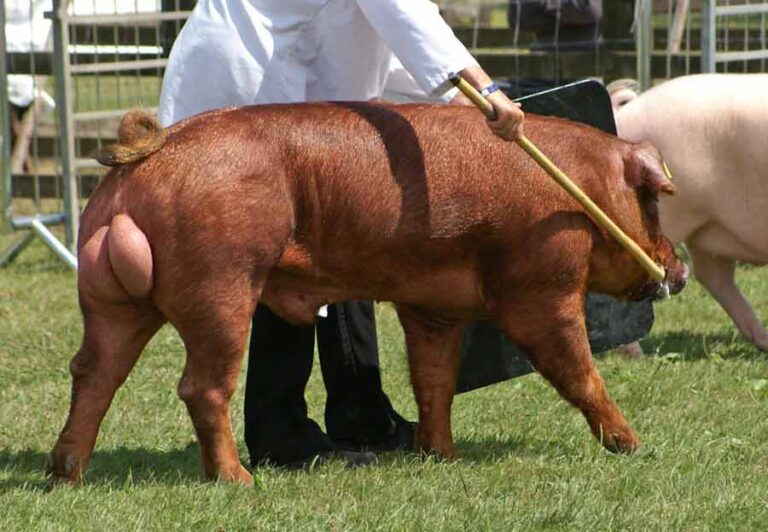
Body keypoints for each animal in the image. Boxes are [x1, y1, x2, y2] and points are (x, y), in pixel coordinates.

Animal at [47, 103, 686, 487]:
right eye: (653, 202)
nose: (679, 270)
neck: (583, 189)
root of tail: (152, 153)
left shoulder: (434, 306)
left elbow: (434, 379)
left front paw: (442, 455)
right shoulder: (539, 286)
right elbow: (577, 371)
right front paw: (634, 446)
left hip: (111, 302)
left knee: (93, 372)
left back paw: (66, 474)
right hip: (221, 282)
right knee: (201, 387)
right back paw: (238, 481)